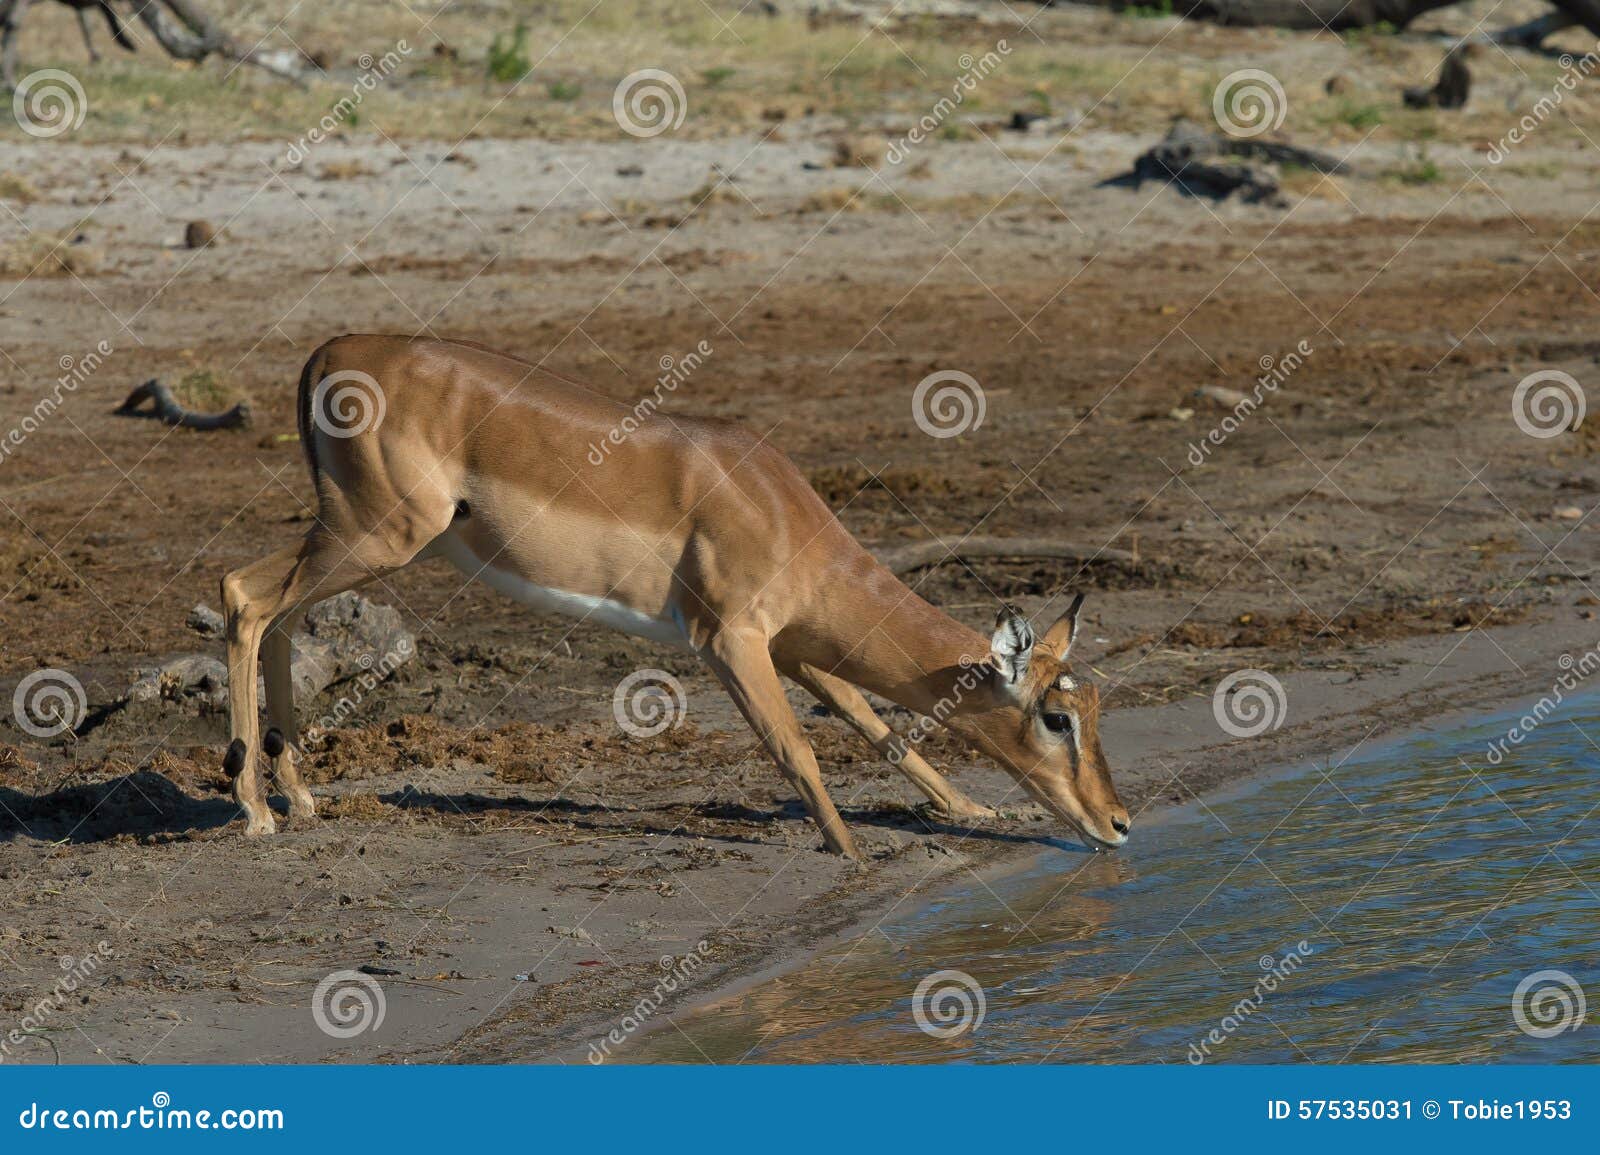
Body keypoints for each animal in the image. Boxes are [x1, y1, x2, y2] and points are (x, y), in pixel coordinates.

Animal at [220, 335, 1132, 858]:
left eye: (1094, 708)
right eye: (1056, 715)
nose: (1120, 821)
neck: (777, 507)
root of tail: (328, 353)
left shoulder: (791, 645)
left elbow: (878, 728)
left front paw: (976, 810)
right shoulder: (728, 640)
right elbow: (797, 747)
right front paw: (852, 853)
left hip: (355, 537)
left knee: (279, 616)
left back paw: (298, 796)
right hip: (379, 534)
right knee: (243, 594)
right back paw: (258, 812)